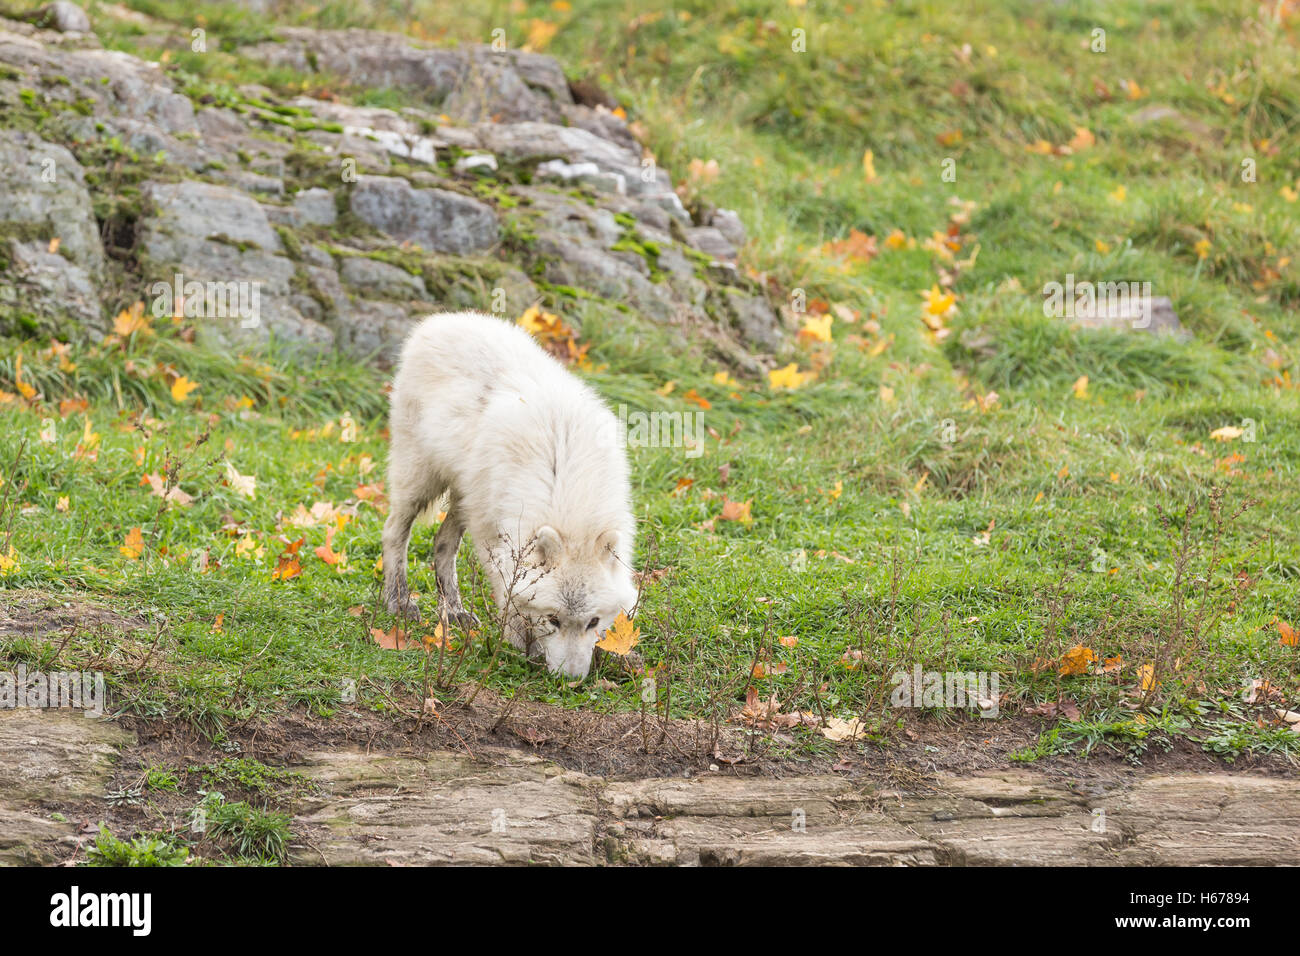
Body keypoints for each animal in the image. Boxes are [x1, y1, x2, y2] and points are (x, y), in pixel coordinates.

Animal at [381, 311, 638, 678]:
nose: (572, 681)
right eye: (553, 620)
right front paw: (522, 646)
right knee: (393, 533)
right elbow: (509, 593)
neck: (564, 484)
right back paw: (399, 601)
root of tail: (440, 320)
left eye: (592, 622)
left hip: (467, 499)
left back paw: (455, 612)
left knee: (442, 544)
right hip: (420, 480)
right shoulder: (494, 532)